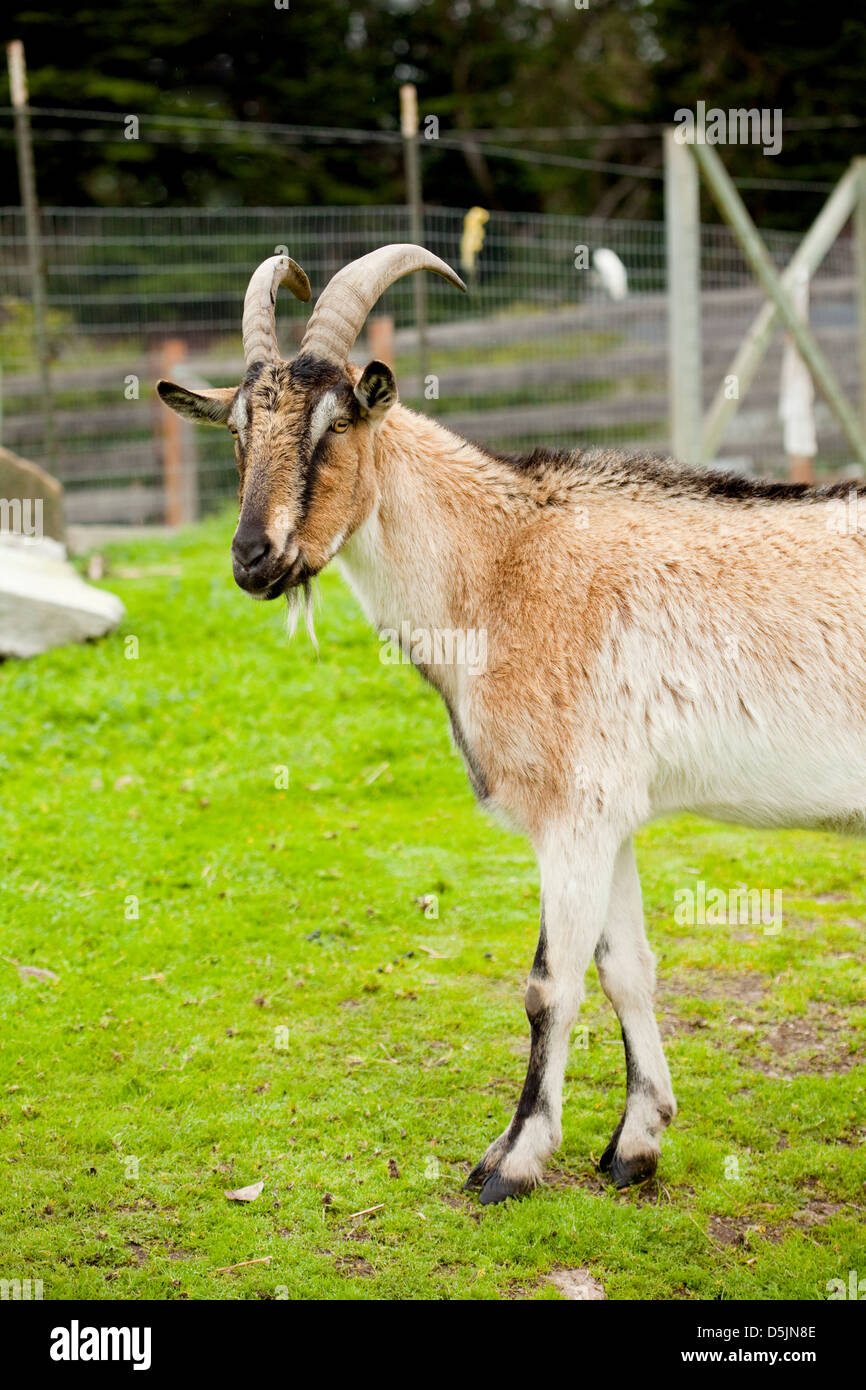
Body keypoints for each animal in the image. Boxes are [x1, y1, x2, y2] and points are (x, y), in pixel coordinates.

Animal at [159, 245, 866, 1204]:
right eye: (235, 429)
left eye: (335, 426)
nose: (252, 559)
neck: (500, 567)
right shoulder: (612, 815)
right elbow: (627, 970)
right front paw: (636, 1146)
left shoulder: (571, 809)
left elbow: (549, 985)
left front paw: (512, 1161)